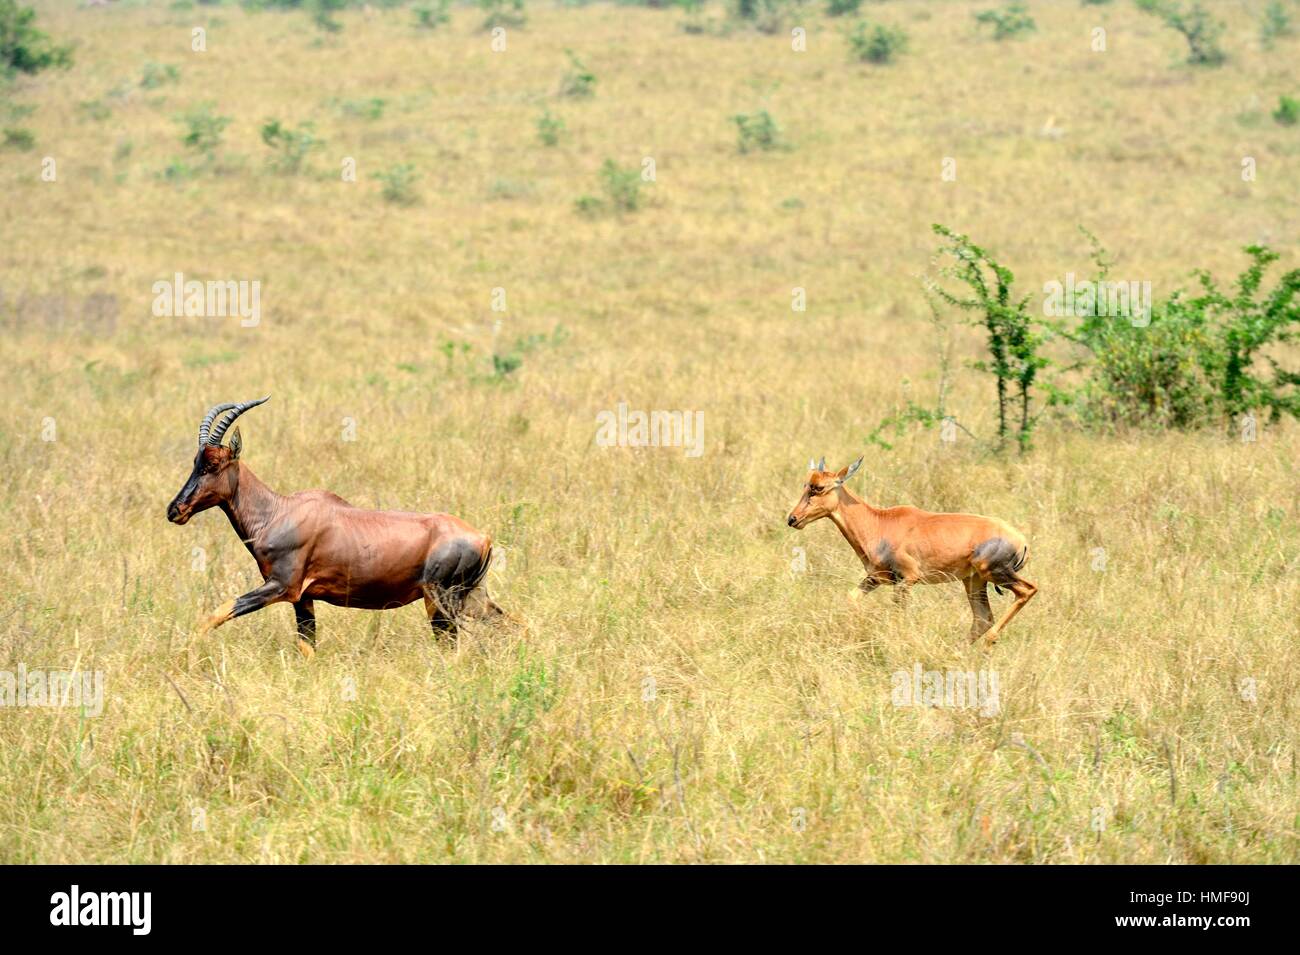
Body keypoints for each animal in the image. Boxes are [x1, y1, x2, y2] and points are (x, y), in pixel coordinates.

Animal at [167, 397, 504, 658]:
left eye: (213, 464)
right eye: (195, 462)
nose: (175, 510)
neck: (278, 512)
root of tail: (482, 538)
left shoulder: (282, 587)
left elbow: (215, 613)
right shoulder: (303, 599)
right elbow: (307, 648)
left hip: (441, 601)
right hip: (473, 598)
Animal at [786, 457, 1037, 646]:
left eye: (819, 488)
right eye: (806, 485)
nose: (792, 519)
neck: (880, 522)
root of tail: (1021, 540)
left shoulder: (908, 578)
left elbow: (898, 615)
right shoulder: (875, 579)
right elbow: (851, 599)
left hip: (995, 573)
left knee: (1028, 590)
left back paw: (990, 640)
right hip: (974, 580)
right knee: (982, 619)